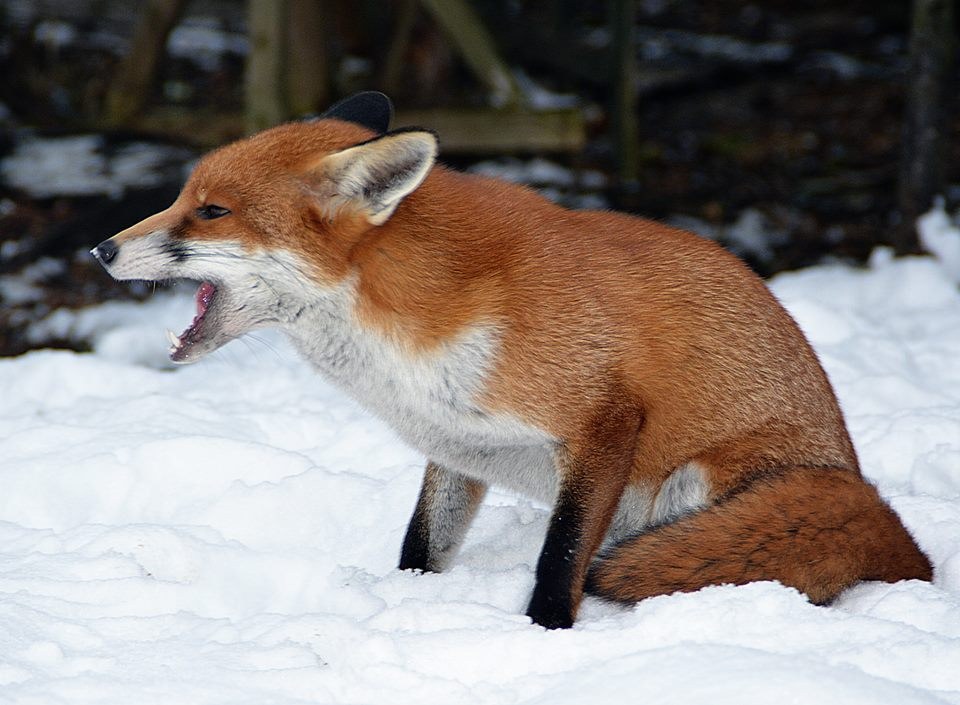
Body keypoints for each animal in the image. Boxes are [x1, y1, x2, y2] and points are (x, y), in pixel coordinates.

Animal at [92, 92, 932, 629]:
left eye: (212, 211)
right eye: (184, 197)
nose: (100, 249)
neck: (401, 323)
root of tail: (899, 534)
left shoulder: (603, 419)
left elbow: (560, 558)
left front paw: (547, 633)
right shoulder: (456, 442)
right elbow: (421, 544)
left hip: (707, 483)